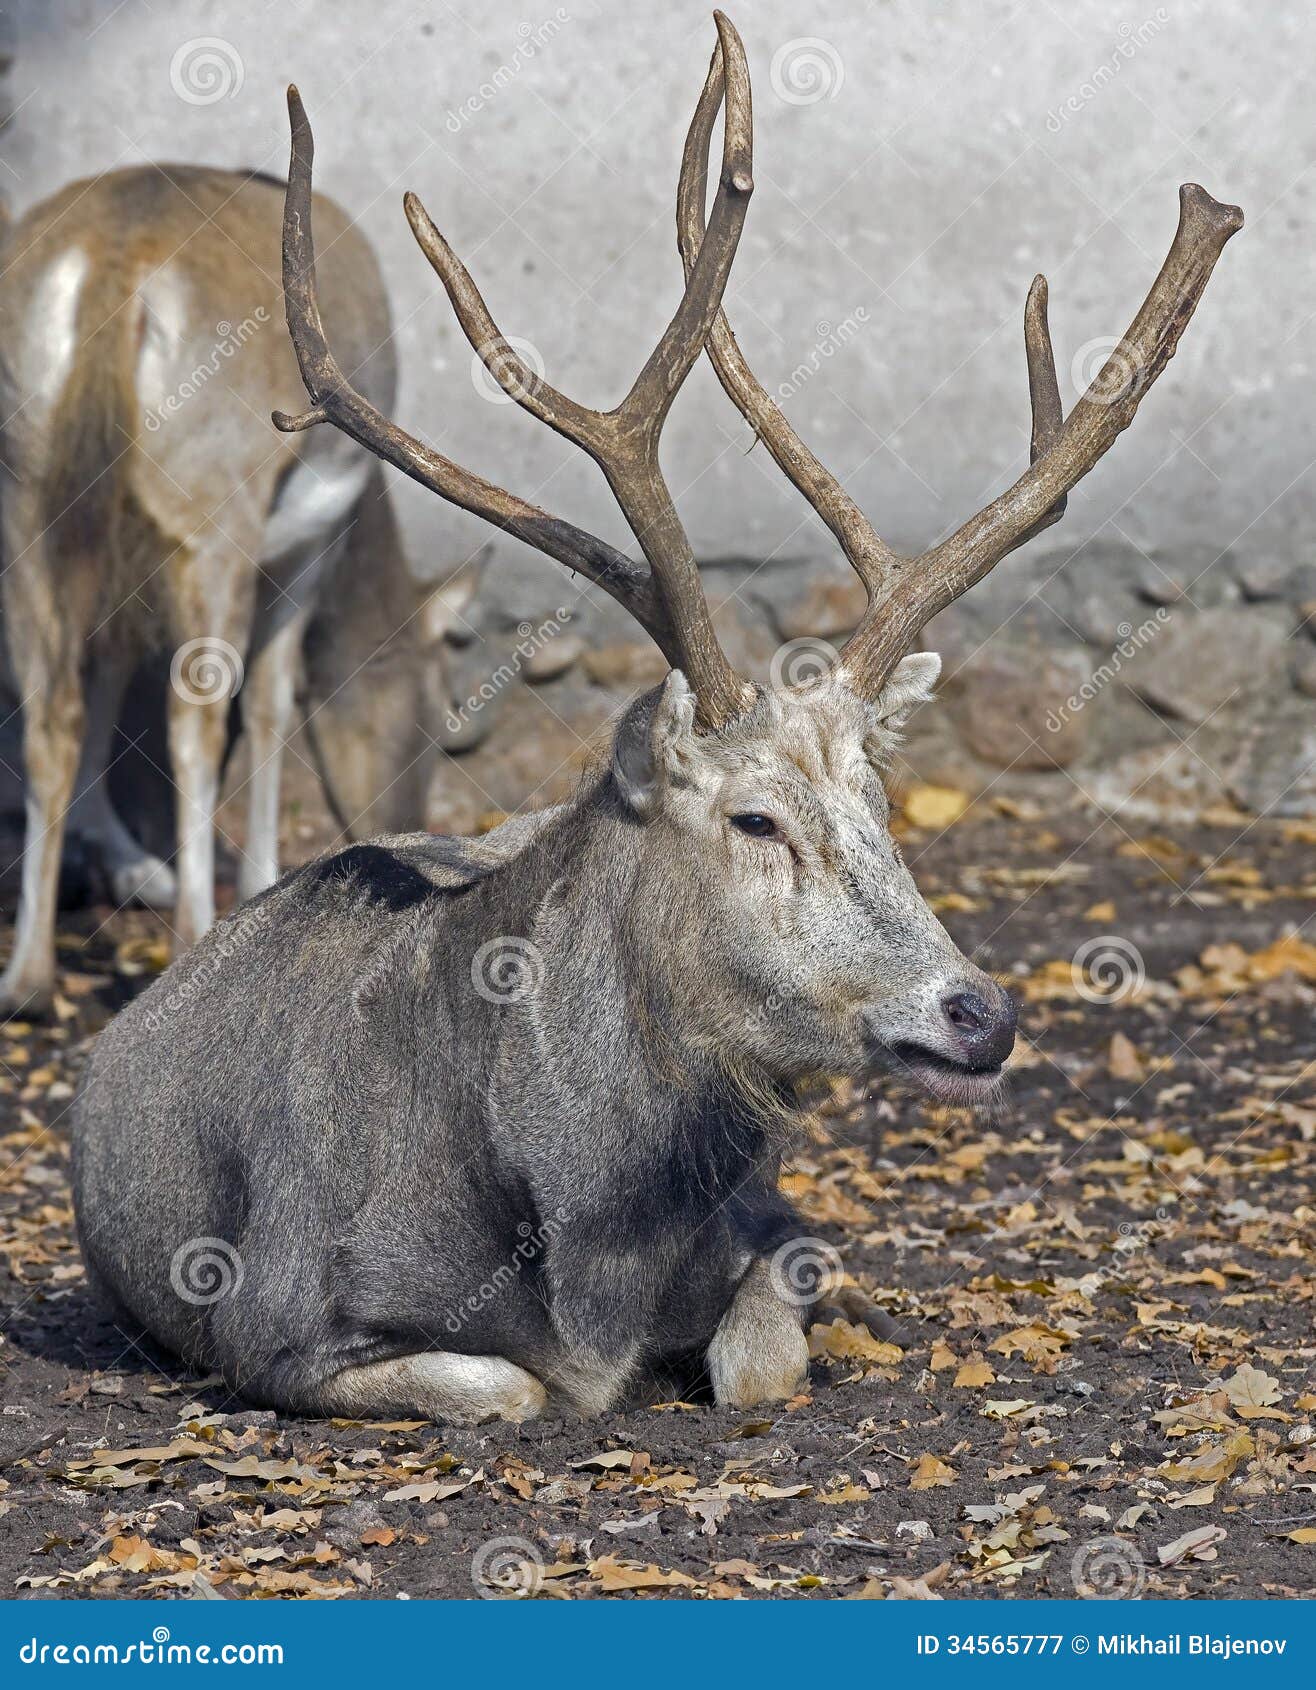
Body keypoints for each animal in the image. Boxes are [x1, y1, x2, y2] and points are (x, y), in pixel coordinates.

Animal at [0, 165, 479, 1018]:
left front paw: (128, 862)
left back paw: (25, 976)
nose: (405, 822)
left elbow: (108, 675)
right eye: (433, 709)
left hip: (24, 494)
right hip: (214, 503)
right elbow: (270, 697)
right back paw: (192, 932)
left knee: (50, 708)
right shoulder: (312, 542)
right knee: (194, 715)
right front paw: (257, 878)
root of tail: (118, 265)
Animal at [71, 13, 1240, 1424]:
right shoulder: (276, 1320)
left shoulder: (773, 1224)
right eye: (753, 820)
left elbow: (758, 1358)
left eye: (878, 801)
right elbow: (512, 1389)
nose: (980, 1011)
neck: (586, 1257)